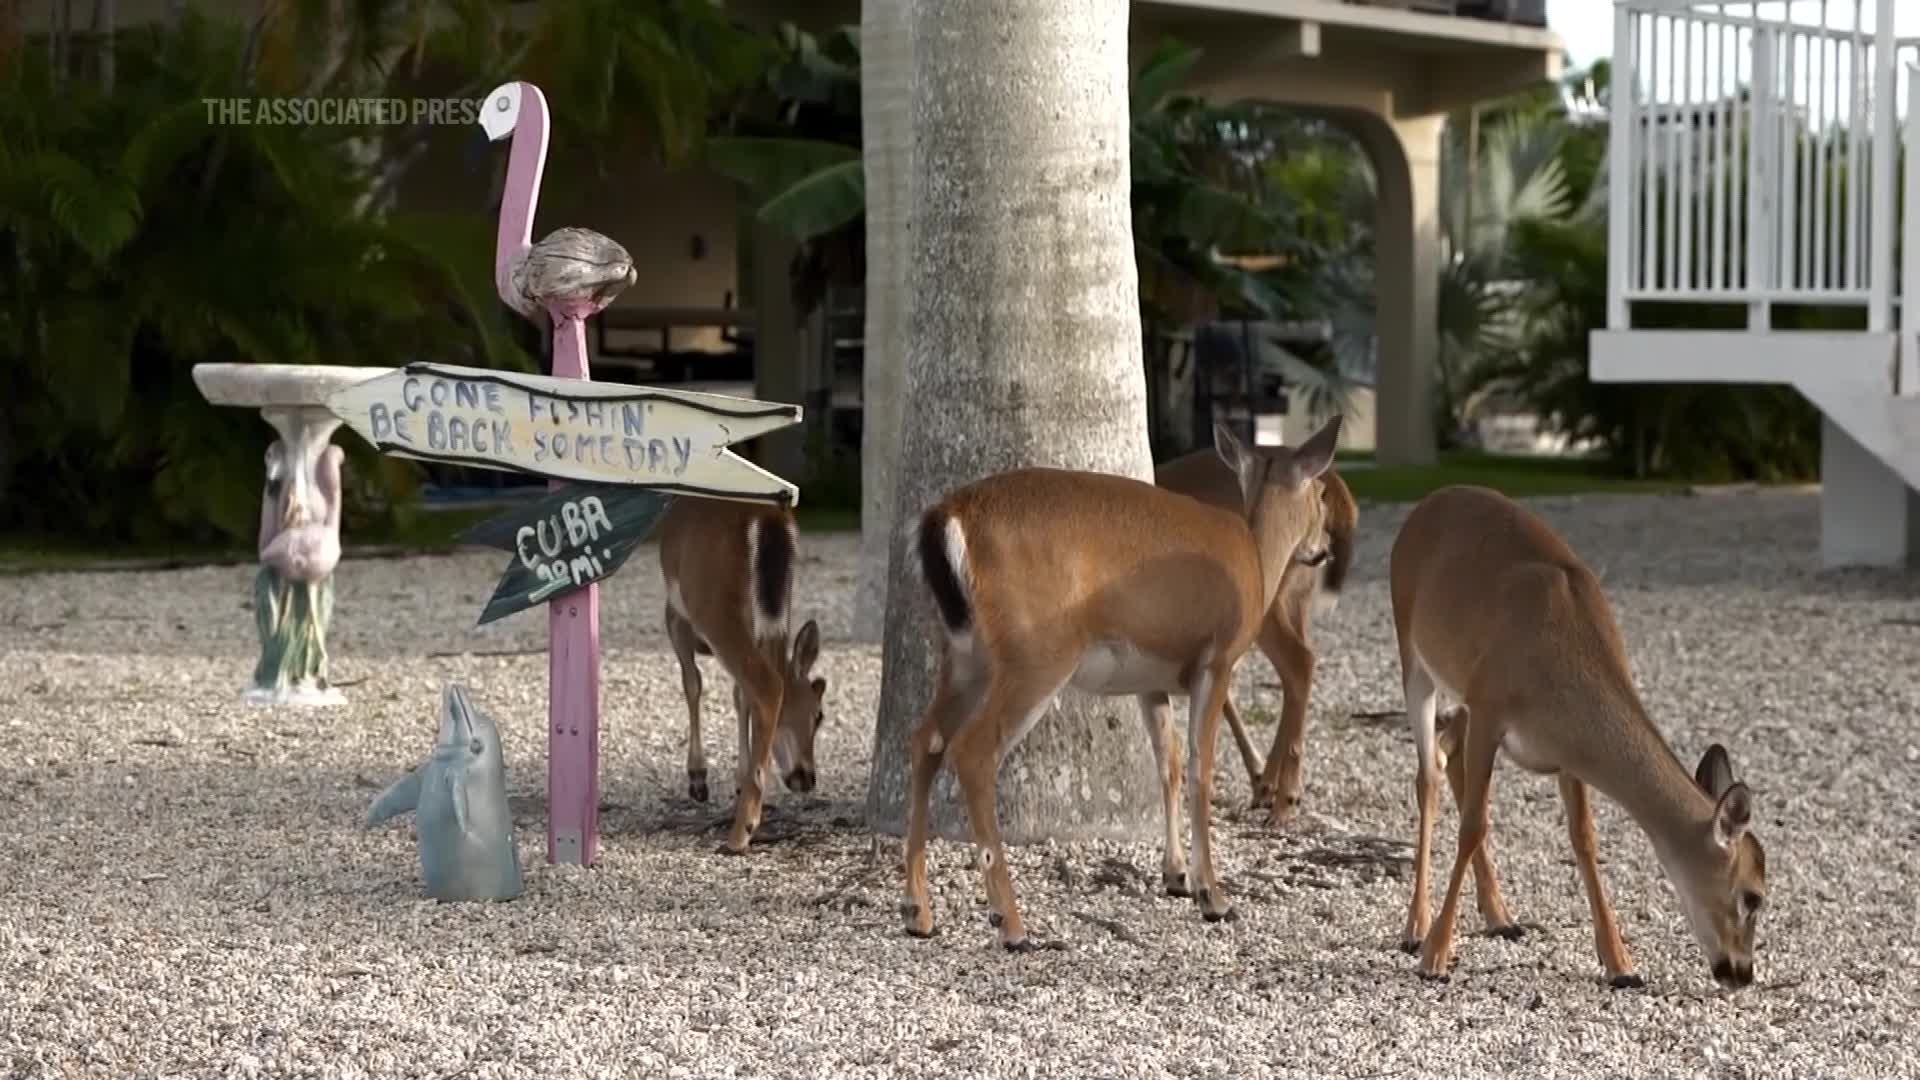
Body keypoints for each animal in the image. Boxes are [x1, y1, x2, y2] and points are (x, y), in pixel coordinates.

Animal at [657, 496, 829, 856]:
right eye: (819, 714)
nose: (806, 777)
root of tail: (768, 518)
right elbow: (738, 697)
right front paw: (737, 778)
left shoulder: (674, 613)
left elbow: (692, 682)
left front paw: (698, 778)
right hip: (775, 603)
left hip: (712, 602)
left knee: (766, 683)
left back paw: (740, 832)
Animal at [1155, 448, 1358, 824]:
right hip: (1295, 595)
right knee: (1295, 666)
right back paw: (1271, 784)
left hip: (1273, 600)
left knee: (1299, 661)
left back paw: (1281, 796)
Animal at [1389, 484, 1768, 989]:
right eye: (1752, 896)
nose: (1741, 973)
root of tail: (1425, 504)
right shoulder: (1490, 705)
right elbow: (1473, 825)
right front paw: (1435, 955)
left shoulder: (1565, 752)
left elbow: (1584, 838)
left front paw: (1620, 963)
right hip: (1413, 652)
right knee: (1428, 774)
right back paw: (1416, 926)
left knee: (1451, 754)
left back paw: (1500, 917)